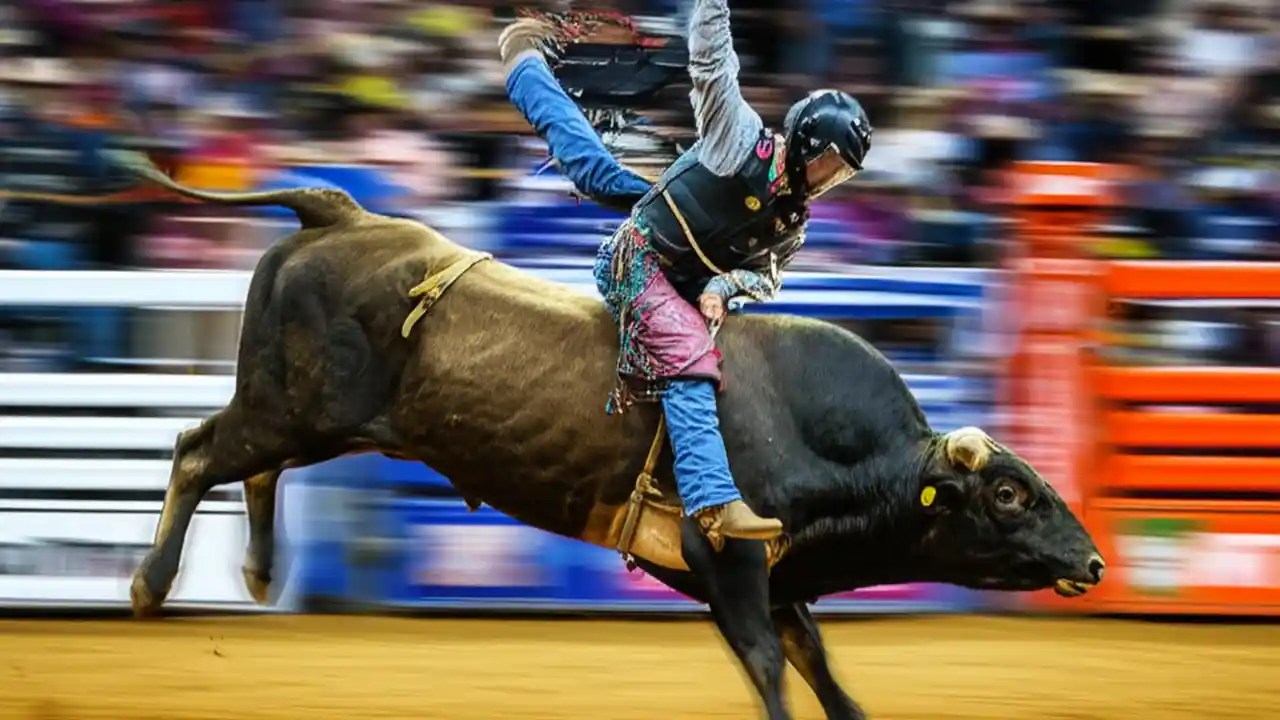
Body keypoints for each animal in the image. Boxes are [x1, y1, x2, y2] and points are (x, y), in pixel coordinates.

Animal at [115, 151, 1105, 720]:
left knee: (251, 470)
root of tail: (341, 210)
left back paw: (256, 572)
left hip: (316, 421)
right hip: (288, 409)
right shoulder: (727, 564)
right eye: (1009, 492)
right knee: (197, 452)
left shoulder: (783, 582)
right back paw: (152, 586)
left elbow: (821, 672)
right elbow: (771, 670)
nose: (1092, 561)